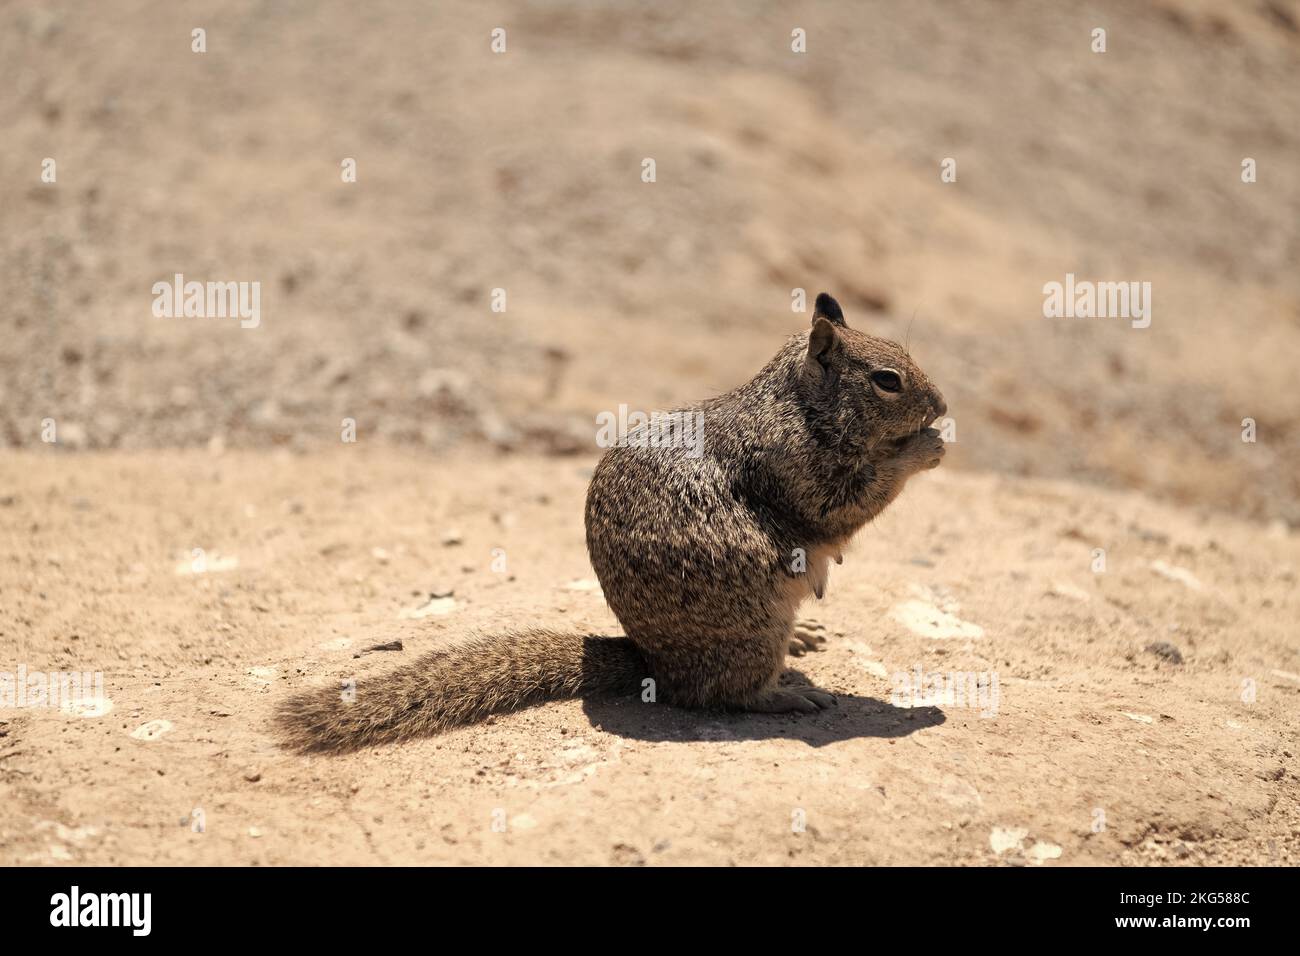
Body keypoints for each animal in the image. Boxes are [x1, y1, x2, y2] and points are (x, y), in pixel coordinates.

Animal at [276, 292, 946, 750]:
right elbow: (845, 504)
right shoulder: (797, 470)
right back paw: (787, 693)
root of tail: (653, 664)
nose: (941, 405)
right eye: (887, 380)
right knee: (720, 695)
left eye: (907, 357)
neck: (800, 406)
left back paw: (800, 643)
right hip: (751, 631)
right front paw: (921, 449)